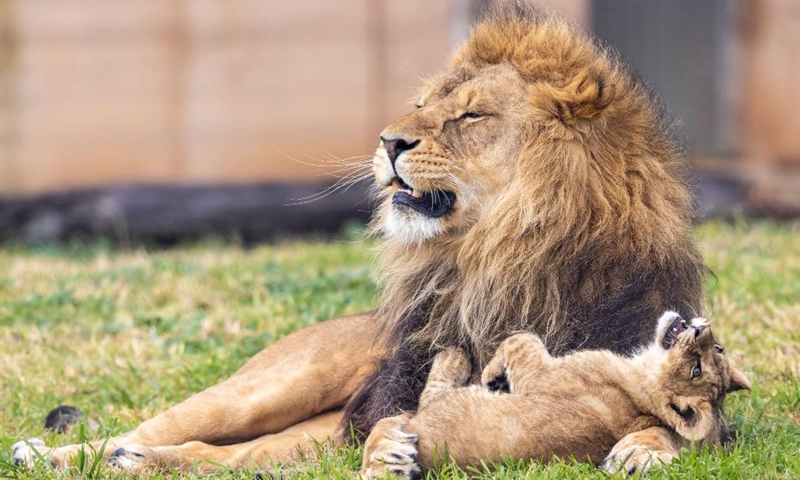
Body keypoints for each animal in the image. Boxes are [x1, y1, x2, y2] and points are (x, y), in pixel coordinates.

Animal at [11, 3, 707, 474]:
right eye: (423, 104)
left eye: (471, 114)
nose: (388, 140)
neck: (496, 260)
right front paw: (388, 453)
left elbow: (674, 423)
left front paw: (643, 448)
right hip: (265, 390)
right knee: (153, 427)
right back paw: (46, 453)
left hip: (296, 438)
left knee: (218, 455)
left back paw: (127, 463)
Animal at [361, 312, 750, 478]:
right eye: (717, 349)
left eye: (696, 369)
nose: (702, 329)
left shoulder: (541, 374)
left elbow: (522, 338)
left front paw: (492, 373)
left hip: (437, 407)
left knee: (430, 392)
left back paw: (455, 355)